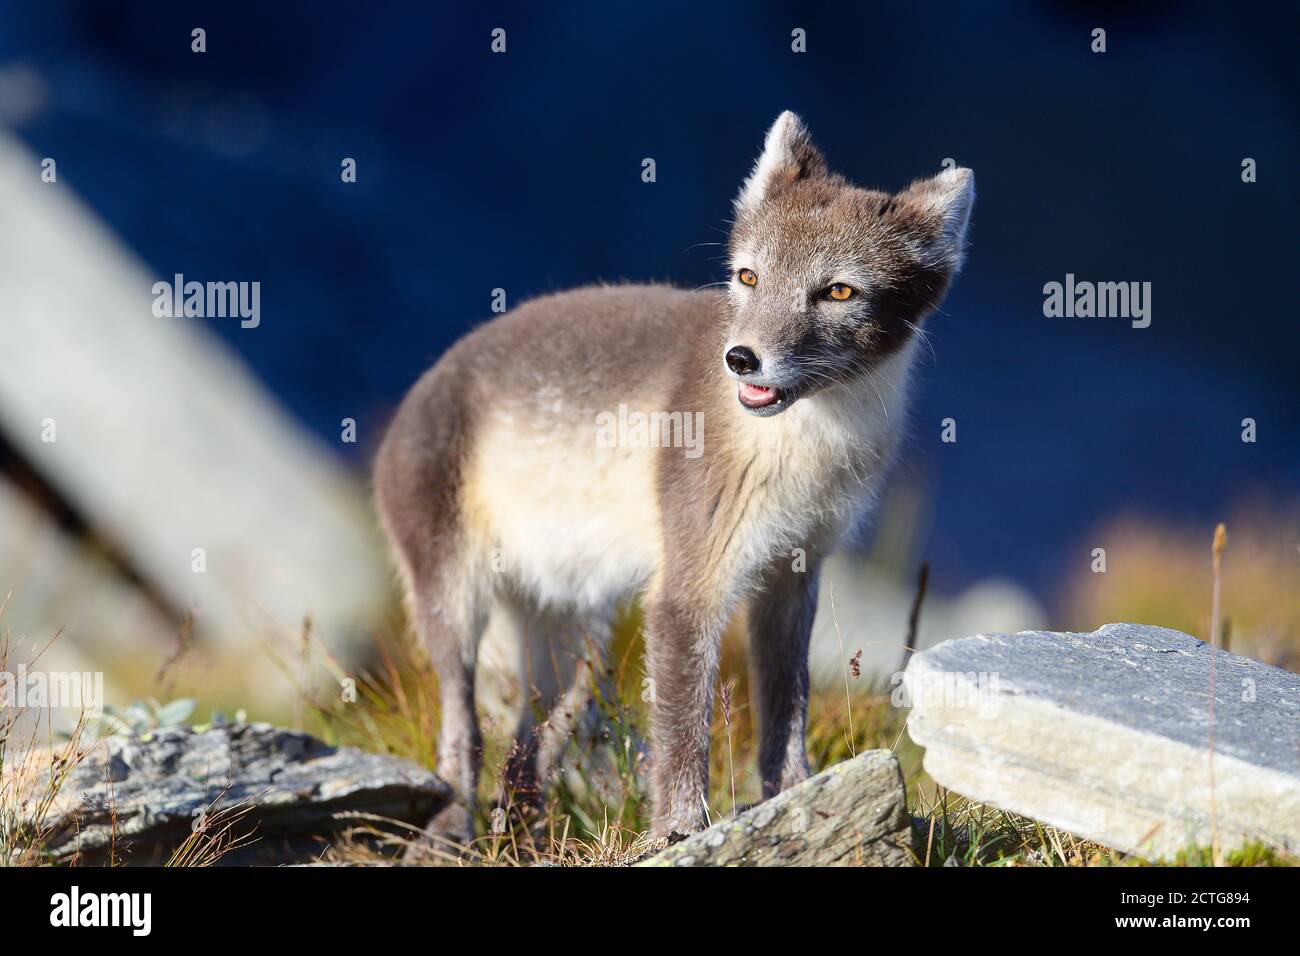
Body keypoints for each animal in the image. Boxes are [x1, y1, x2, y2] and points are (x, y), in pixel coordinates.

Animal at [374, 111, 974, 840]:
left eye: (838, 291)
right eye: (748, 277)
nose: (741, 359)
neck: (804, 448)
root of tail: (417, 392)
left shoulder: (792, 572)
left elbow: (786, 703)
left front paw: (795, 793)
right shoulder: (688, 586)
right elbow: (685, 728)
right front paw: (680, 830)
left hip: (576, 642)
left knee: (526, 748)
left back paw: (519, 831)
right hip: (456, 600)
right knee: (463, 730)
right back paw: (457, 823)